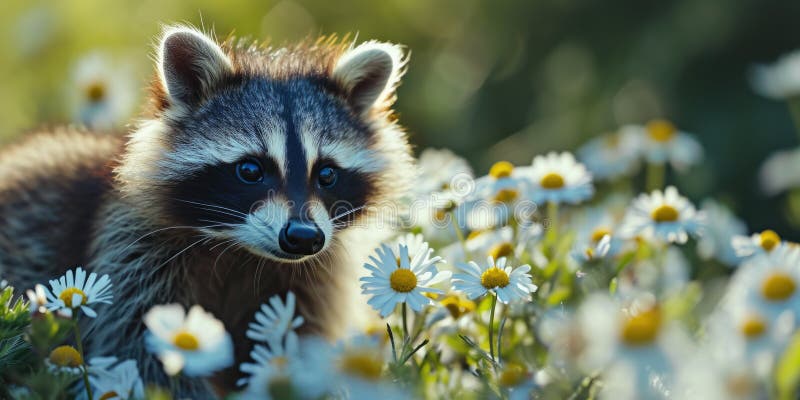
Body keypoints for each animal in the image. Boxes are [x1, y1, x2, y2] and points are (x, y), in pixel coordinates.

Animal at [0, 26, 413, 396]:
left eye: (326, 173)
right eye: (250, 170)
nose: (302, 237)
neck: (244, 250)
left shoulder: (315, 275)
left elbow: (300, 339)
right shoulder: (131, 252)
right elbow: (142, 351)